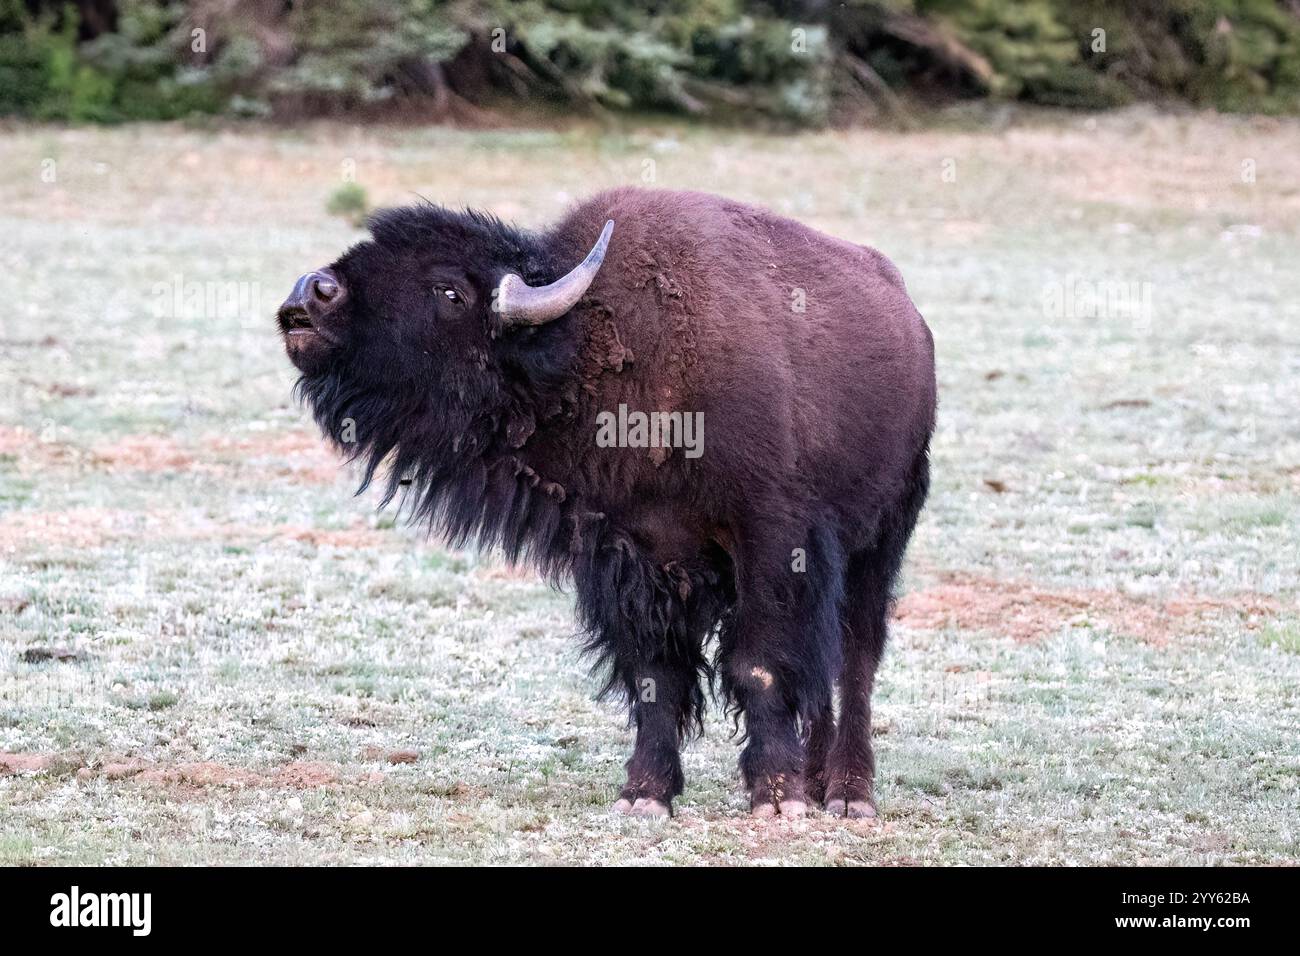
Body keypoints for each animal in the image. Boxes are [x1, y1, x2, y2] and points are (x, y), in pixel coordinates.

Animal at [277, 187, 936, 818]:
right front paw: (644, 795)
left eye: (450, 291)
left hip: (881, 540)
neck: (587, 346)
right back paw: (822, 781)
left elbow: (759, 663)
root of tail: (909, 318)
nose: (312, 292)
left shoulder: (771, 542)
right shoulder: (628, 557)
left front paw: (777, 798)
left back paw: (849, 795)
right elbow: (655, 674)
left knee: (855, 657)